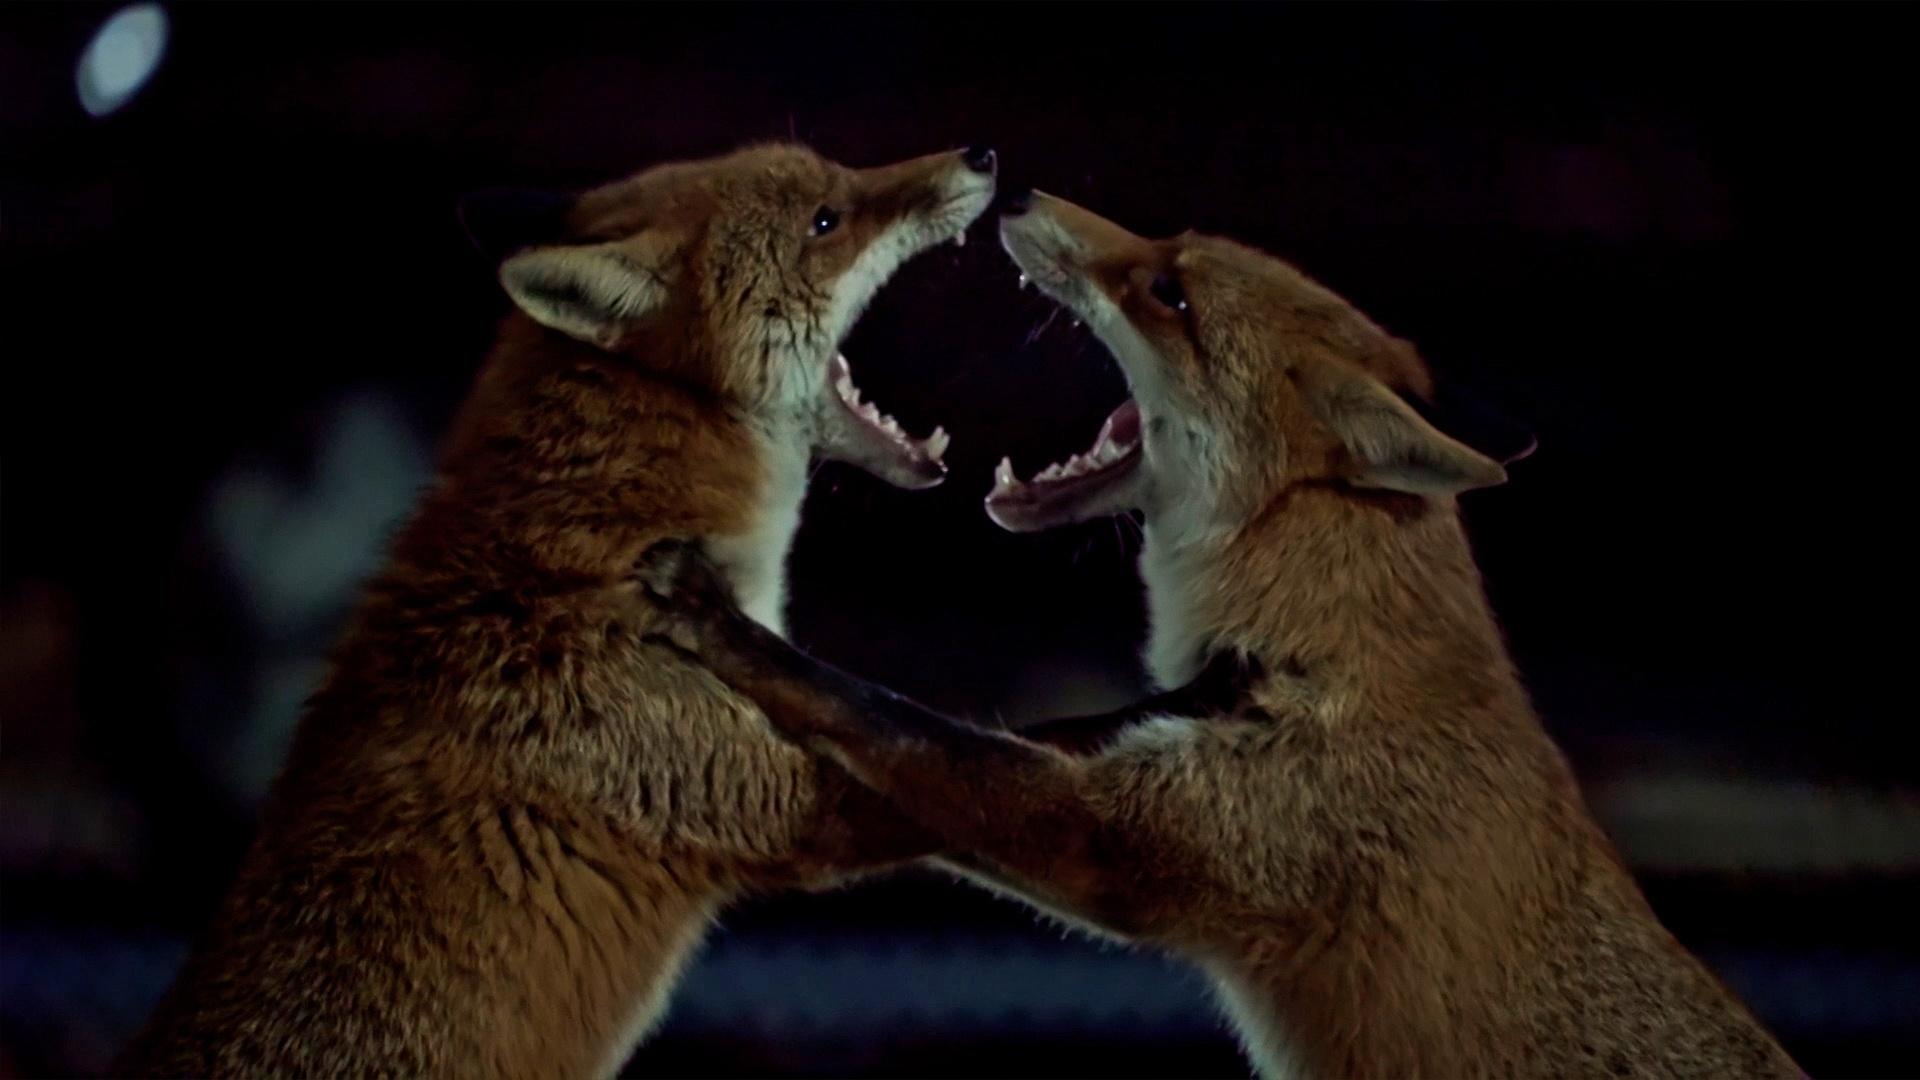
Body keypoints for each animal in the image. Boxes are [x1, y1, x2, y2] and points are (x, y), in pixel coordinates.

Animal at [114, 143, 1001, 1078]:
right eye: (826, 218)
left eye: (838, 175)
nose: (979, 155)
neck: (606, 561)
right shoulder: (779, 802)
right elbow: (979, 781)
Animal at [640, 189, 1802, 1078]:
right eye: (1168, 253)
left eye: (1172, 292)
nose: (1016, 194)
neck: (1322, 647)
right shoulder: (1164, 762)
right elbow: (975, 740)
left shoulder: (1131, 849)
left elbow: (892, 719)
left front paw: (725, 628)